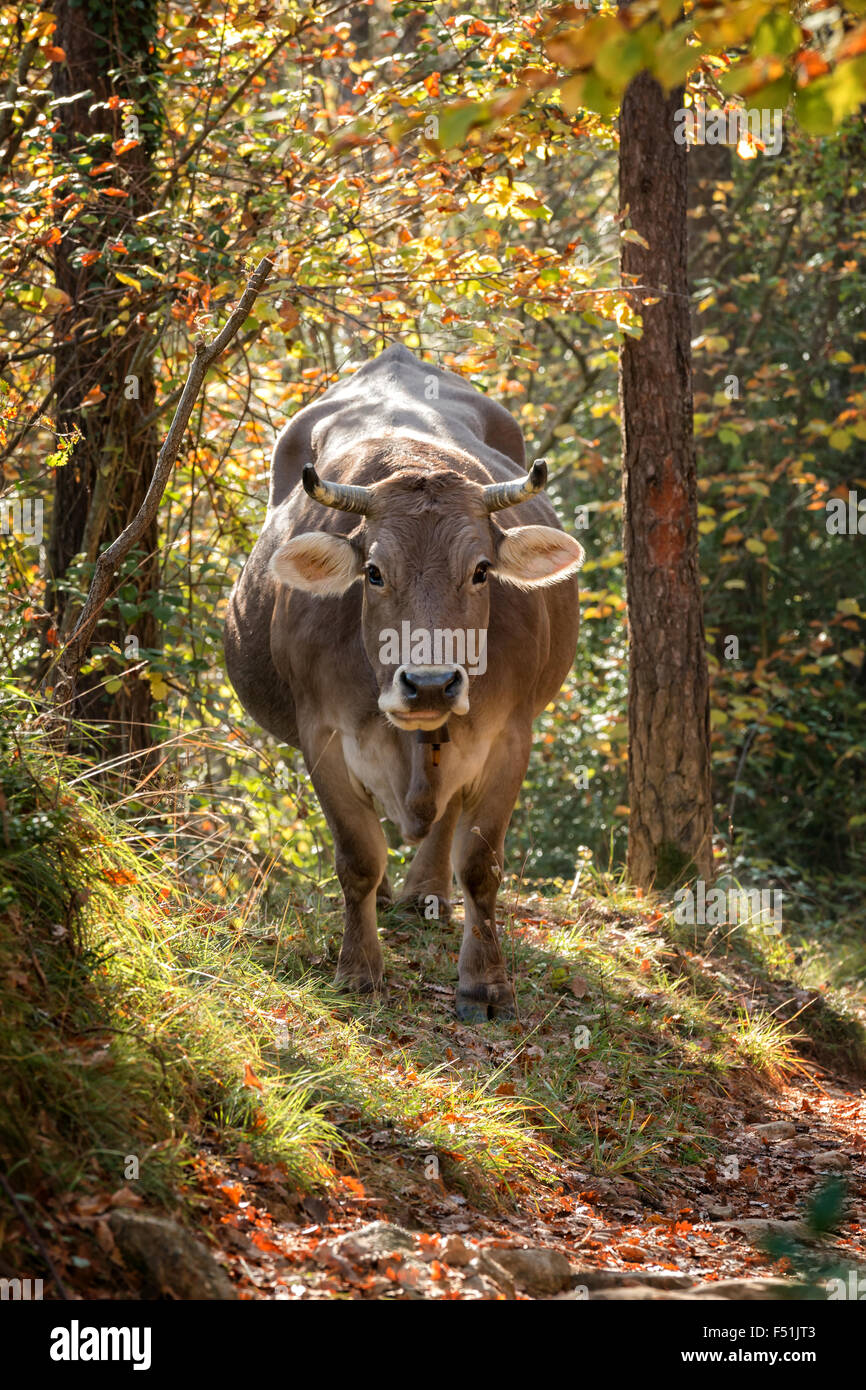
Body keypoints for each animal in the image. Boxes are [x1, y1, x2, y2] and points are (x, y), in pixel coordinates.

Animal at [224, 345, 583, 1020]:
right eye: (373, 571)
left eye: (481, 570)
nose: (431, 684)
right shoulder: (323, 733)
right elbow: (357, 857)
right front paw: (359, 969)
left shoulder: (510, 735)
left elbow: (482, 865)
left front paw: (485, 984)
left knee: (445, 815)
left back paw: (424, 893)